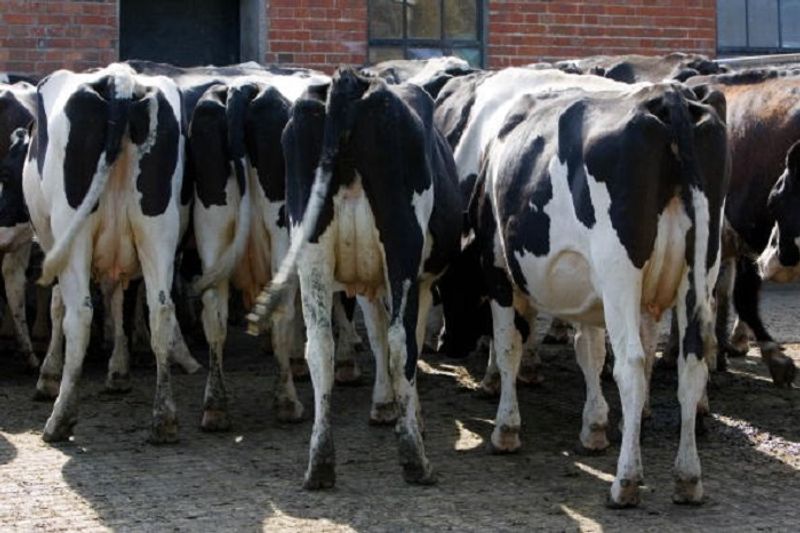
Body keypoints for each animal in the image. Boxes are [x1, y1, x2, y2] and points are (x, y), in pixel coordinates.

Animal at [24, 63, 192, 443]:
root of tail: (120, 79)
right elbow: (117, 296)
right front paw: (118, 371)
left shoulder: (53, 239)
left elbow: (58, 305)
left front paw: (49, 375)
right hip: (157, 224)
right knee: (161, 308)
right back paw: (165, 420)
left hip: (73, 227)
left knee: (80, 314)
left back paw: (60, 418)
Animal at [247, 68, 462, 489]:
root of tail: (348, 82)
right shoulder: (417, 280)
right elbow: (400, 339)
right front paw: (405, 412)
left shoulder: (368, 281)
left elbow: (374, 334)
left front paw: (383, 403)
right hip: (400, 240)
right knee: (400, 342)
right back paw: (415, 460)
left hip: (311, 248)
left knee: (319, 346)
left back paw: (319, 463)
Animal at [434, 67, 728, 507]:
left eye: (446, 283)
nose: (446, 345)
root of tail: (667, 98)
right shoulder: (590, 289)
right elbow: (589, 352)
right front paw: (594, 427)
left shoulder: (500, 271)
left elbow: (509, 347)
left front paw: (506, 429)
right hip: (699, 271)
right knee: (691, 364)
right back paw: (688, 477)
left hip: (620, 272)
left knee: (631, 364)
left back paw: (626, 481)